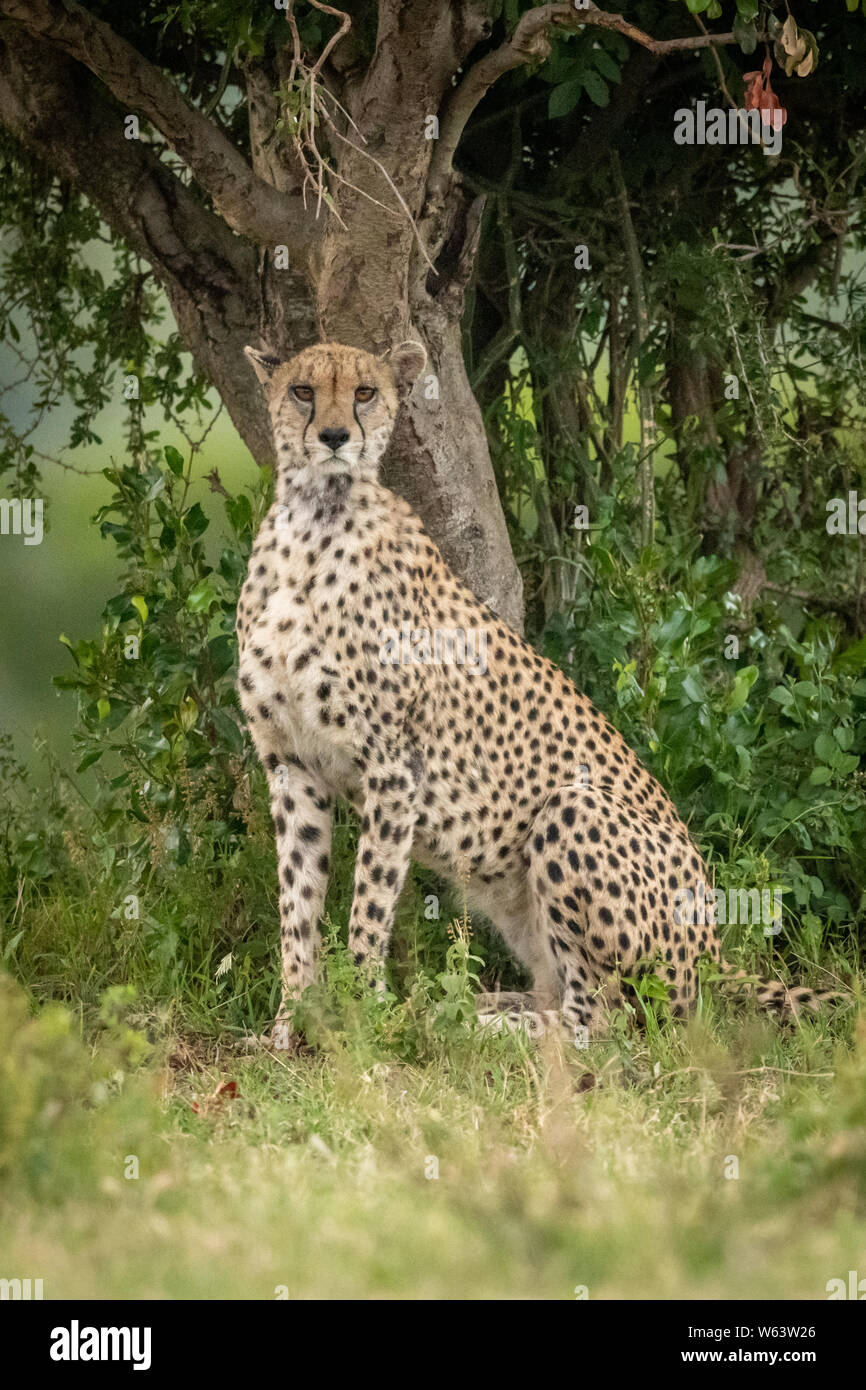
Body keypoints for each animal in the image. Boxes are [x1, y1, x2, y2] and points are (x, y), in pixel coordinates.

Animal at [236, 338, 837, 1046]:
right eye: (302, 391)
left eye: (365, 393)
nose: (333, 436)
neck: (315, 516)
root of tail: (716, 951)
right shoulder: (291, 764)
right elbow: (296, 906)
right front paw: (288, 1024)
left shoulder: (394, 767)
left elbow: (369, 904)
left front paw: (364, 1020)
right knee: (563, 997)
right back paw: (474, 1007)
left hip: (572, 808)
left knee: (605, 1021)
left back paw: (472, 1027)